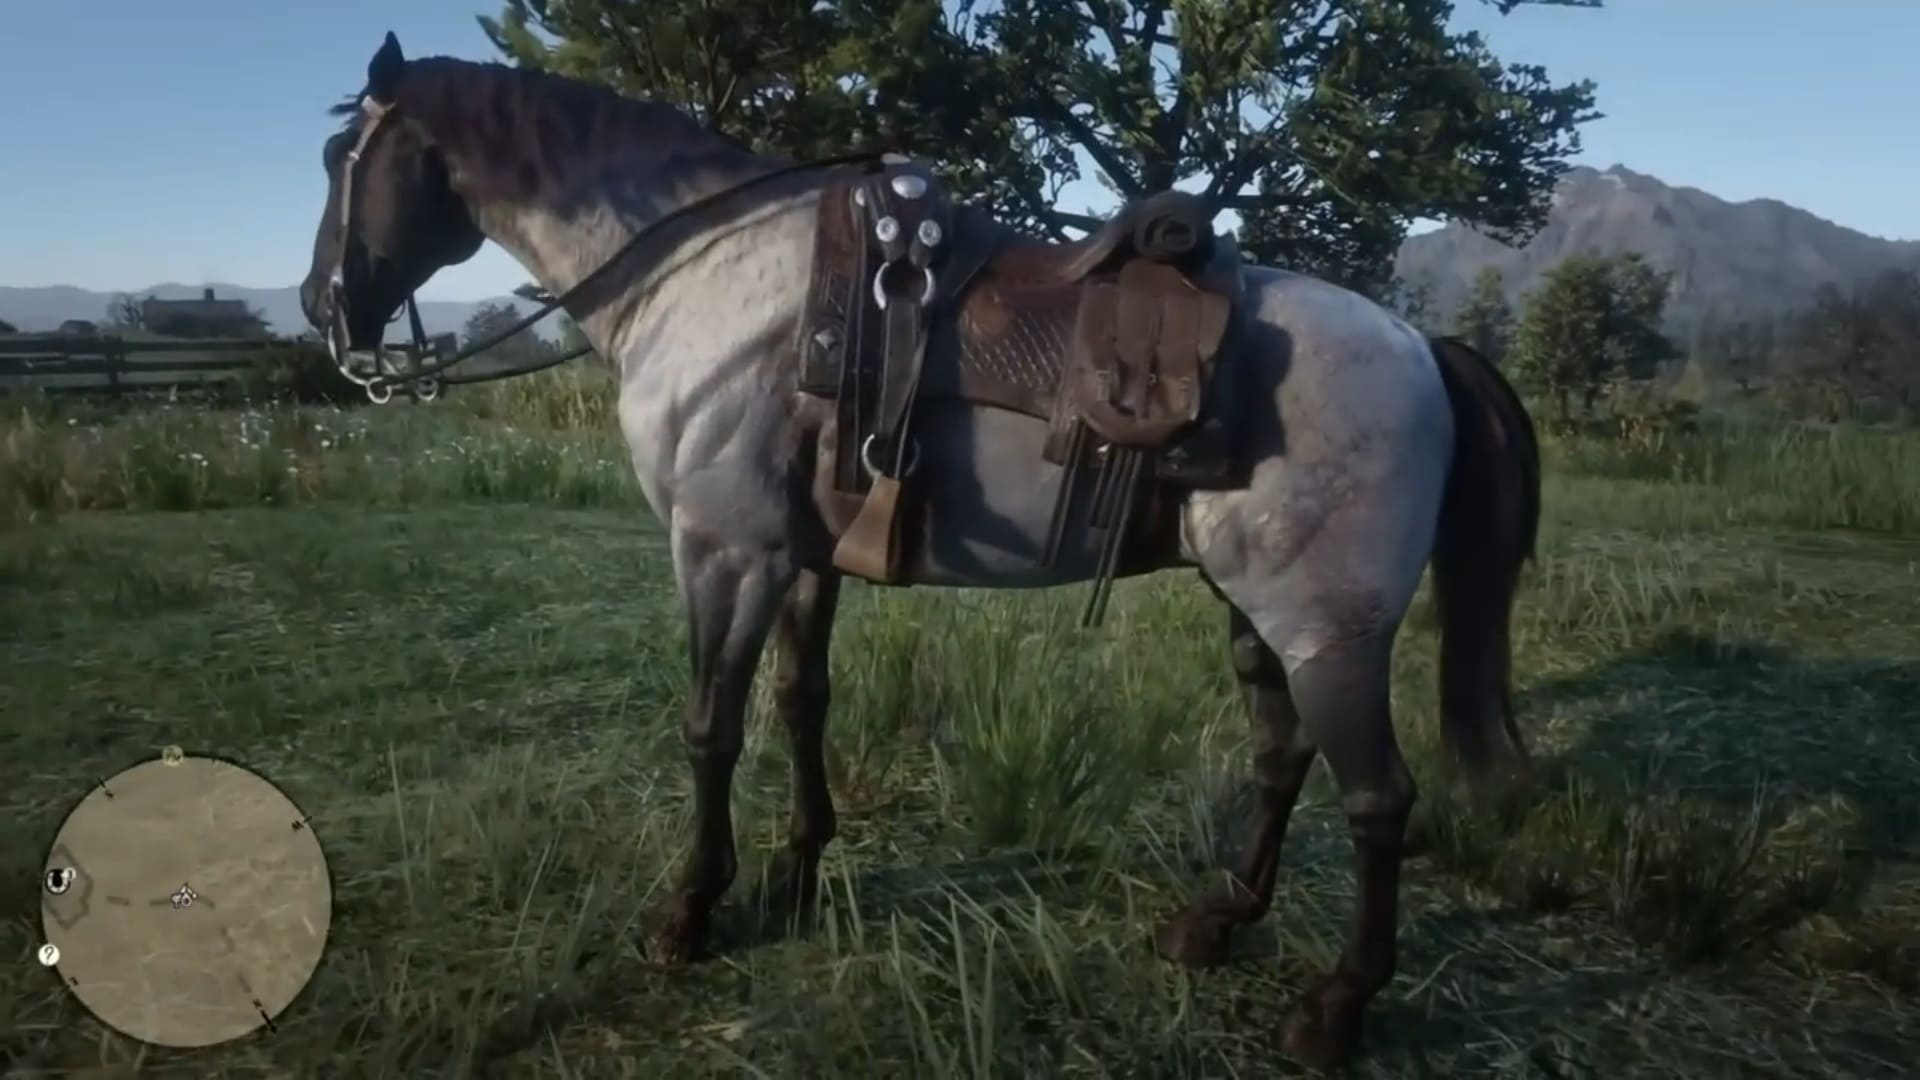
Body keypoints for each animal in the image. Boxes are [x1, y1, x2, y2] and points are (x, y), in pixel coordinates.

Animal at [299, 33, 1540, 1069]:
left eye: (337, 158)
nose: (320, 309)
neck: (703, 276)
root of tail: (1420, 345)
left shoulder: (723, 550)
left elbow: (711, 728)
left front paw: (690, 910)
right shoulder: (798, 559)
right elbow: (802, 702)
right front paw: (797, 872)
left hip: (1329, 629)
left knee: (1376, 800)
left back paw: (1337, 1004)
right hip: (1257, 616)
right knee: (1282, 760)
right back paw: (1215, 923)